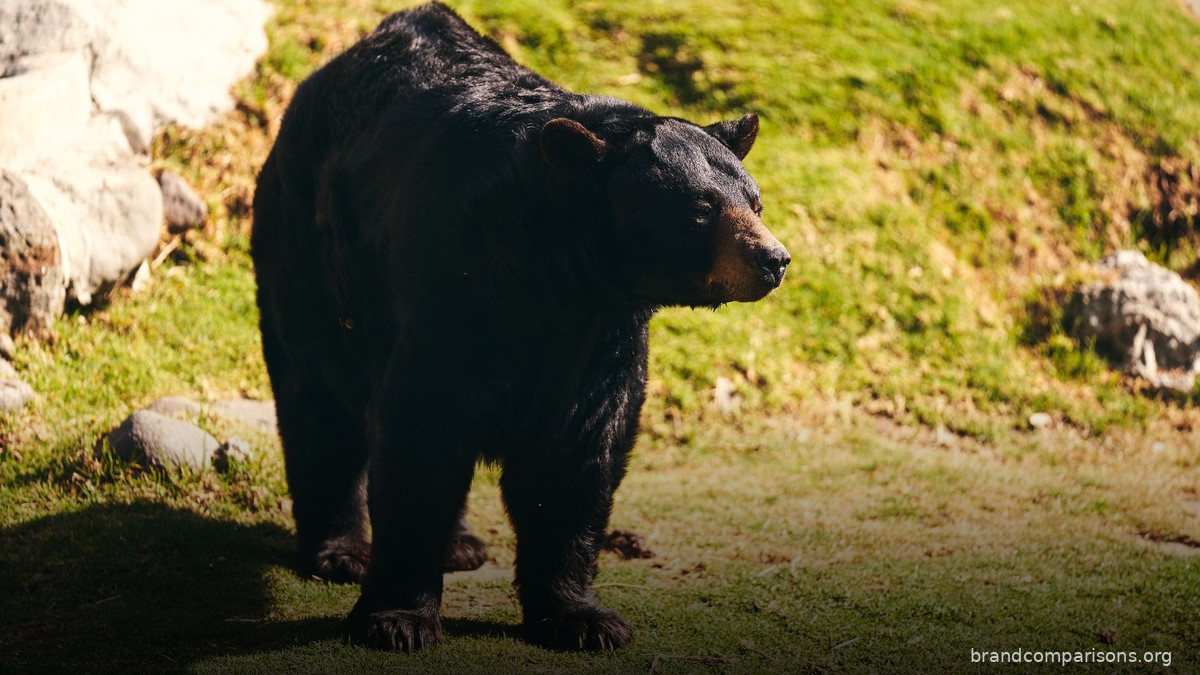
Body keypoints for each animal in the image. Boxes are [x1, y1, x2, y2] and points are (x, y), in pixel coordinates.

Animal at [250, 1, 789, 653]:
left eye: (754, 202)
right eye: (702, 209)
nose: (774, 259)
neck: (554, 278)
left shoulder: (600, 339)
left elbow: (577, 454)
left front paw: (582, 618)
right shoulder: (454, 290)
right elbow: (422, 431)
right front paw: (397, 618)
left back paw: (460, 545)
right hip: (309, 251)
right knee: (319, 397)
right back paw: (342, 551)